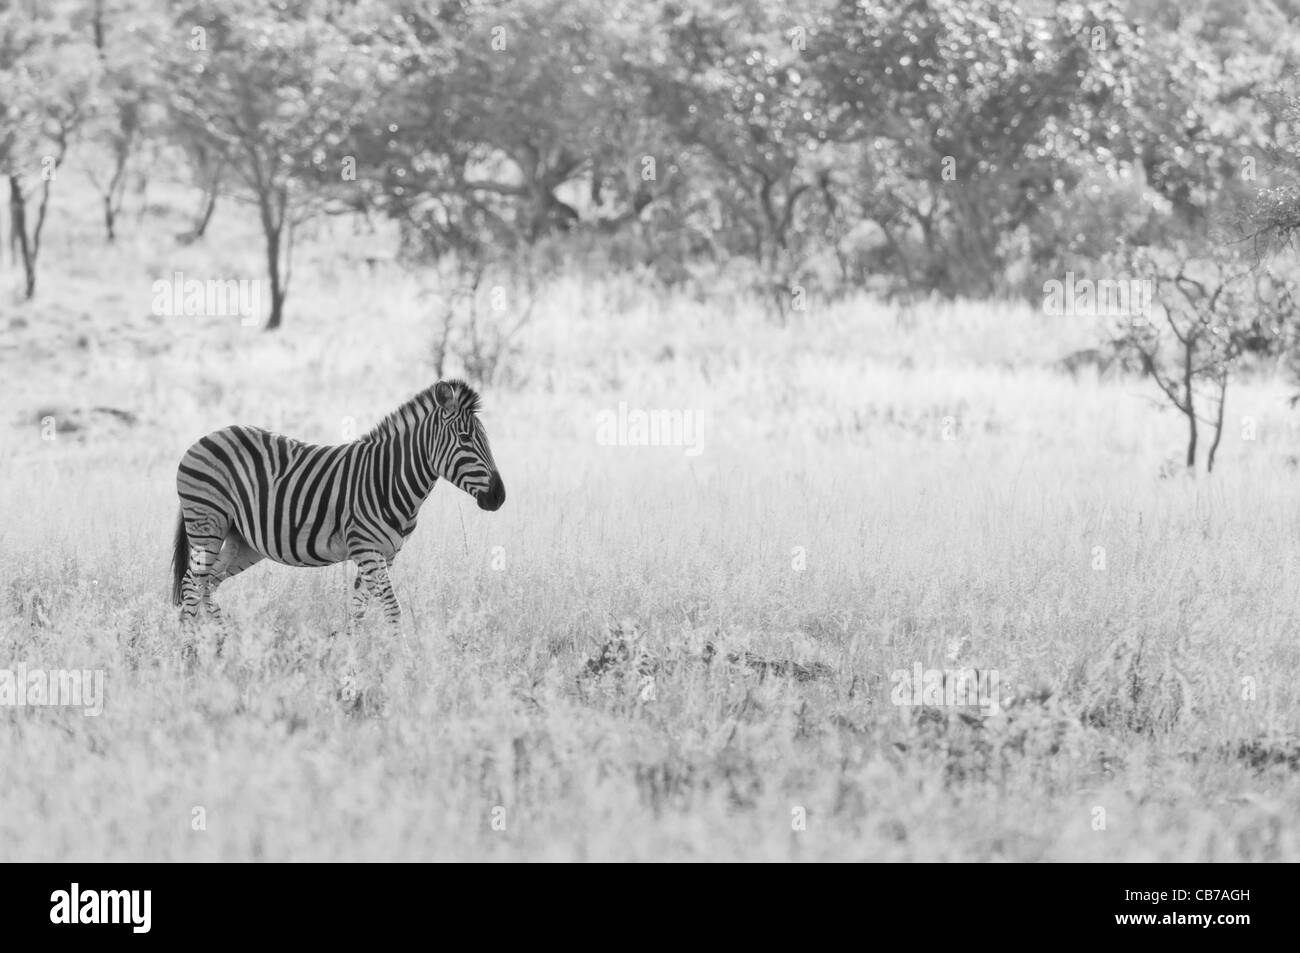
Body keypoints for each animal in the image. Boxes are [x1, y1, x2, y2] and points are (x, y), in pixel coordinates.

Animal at [170, 379, 505, 638]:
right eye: (465, 438)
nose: (499, 497)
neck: (389, 477)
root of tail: (203, 438)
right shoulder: (367, 550)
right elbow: (392, 608)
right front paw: (401, 664)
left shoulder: (386, 554)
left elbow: (358, 609)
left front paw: (350, 658)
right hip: (207, 524)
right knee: (191, 583)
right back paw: (189, 654)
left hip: (241, 540)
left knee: (208, 583)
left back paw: (221, 644)